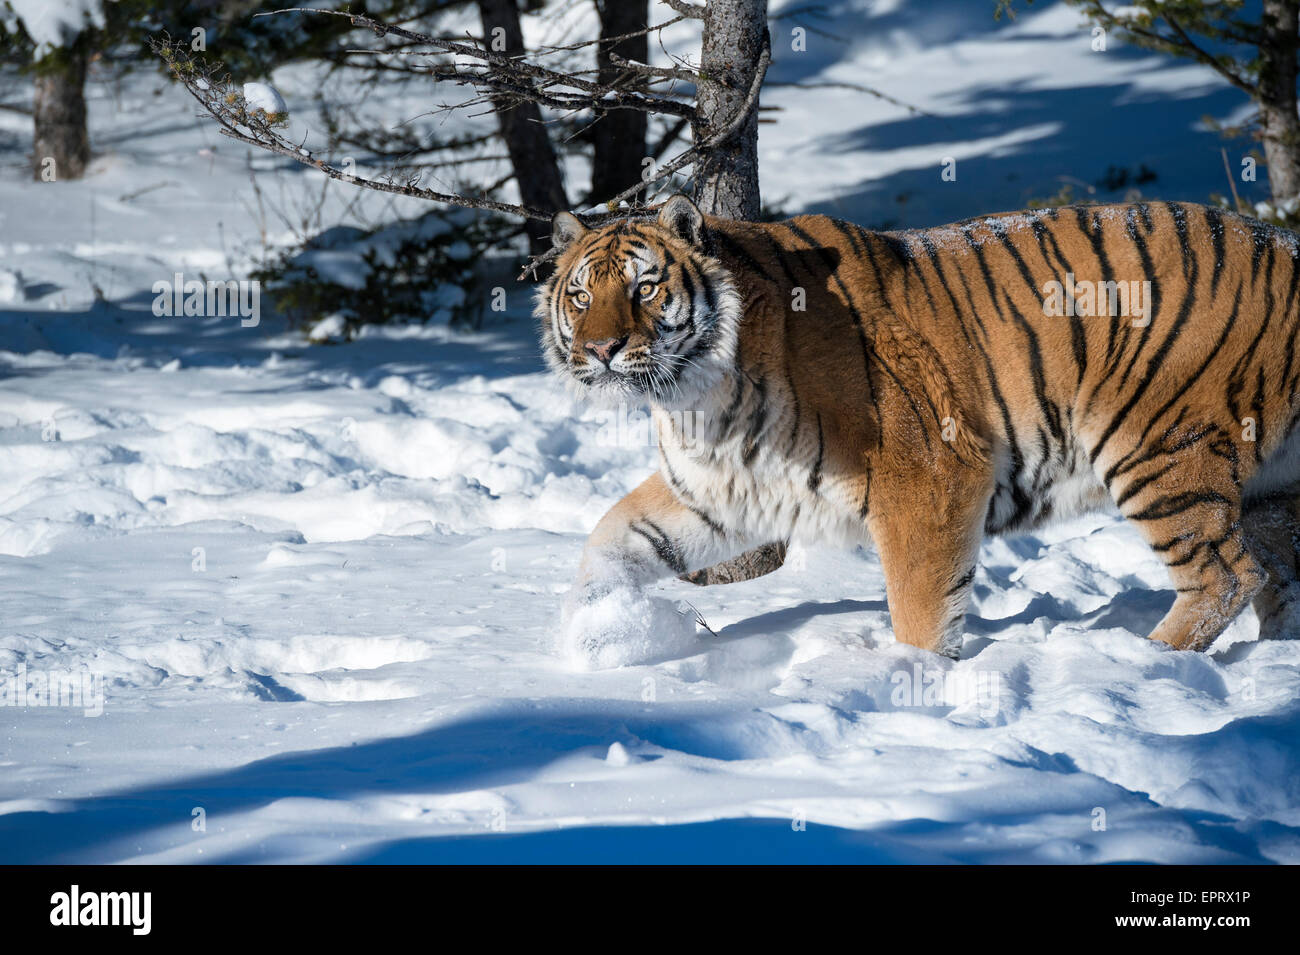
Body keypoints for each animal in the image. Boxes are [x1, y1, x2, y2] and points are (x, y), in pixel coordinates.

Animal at [537, 194, 1300, 659]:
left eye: (644, 288)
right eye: (579, 295)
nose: (601, 349)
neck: (699, 394)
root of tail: (1284, 243)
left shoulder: (928, 478)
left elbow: (921, 606)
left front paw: (911, 685)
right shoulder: (716, 488)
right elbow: (612, 537)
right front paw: (598, 635)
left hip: (1160, 446)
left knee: (1227, 576)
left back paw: (1146, 663)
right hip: (1269, 486)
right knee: (1277, 574)